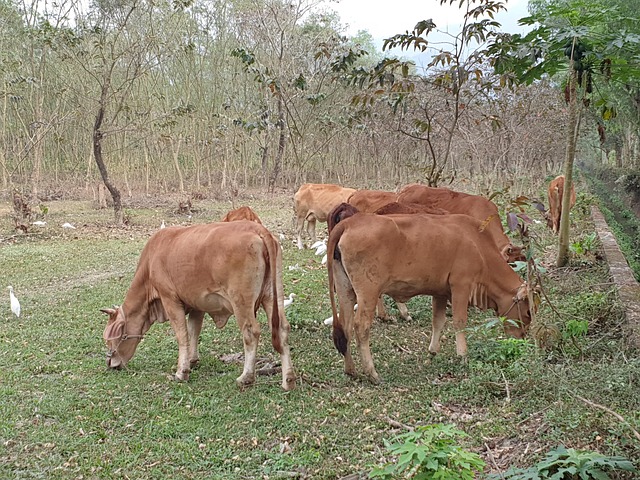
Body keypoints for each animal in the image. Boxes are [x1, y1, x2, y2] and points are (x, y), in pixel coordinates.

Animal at [101, 221, 296, 391]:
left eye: (111, 339)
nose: (110, 363)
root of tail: (258, 229)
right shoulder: (196, 304)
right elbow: (193, 330)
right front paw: (192, 360)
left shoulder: (169, 298)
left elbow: (182, 335)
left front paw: (182, 372)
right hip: (273, 295)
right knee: (282, 328)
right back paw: (288, 380)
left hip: (241, 301)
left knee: (250, 332)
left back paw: (246, 377)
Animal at [327, 206, 536, 383]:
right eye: (527, 313)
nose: (522, 338)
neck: (478, 246)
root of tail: (350, 222)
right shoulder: (461, 285)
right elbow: (459, 322)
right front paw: (462, 355)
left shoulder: (440, 291)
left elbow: (438, 321)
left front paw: (433, 351)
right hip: (368, 292)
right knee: (361, 327)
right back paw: (372, 373)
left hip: (346, 290)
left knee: (345, 327)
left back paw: (351, 370)